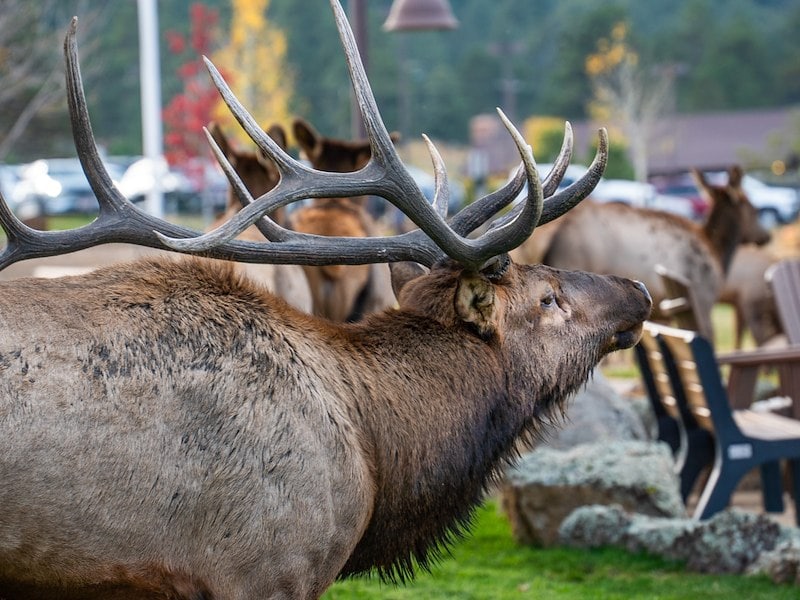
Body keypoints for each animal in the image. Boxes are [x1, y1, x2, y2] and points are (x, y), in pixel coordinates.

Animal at [541, 165, 770, 340]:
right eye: (753, 209)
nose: (766, 235)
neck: (717, 251)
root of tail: (553, 234)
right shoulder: (702, 298)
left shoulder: (664, 313)